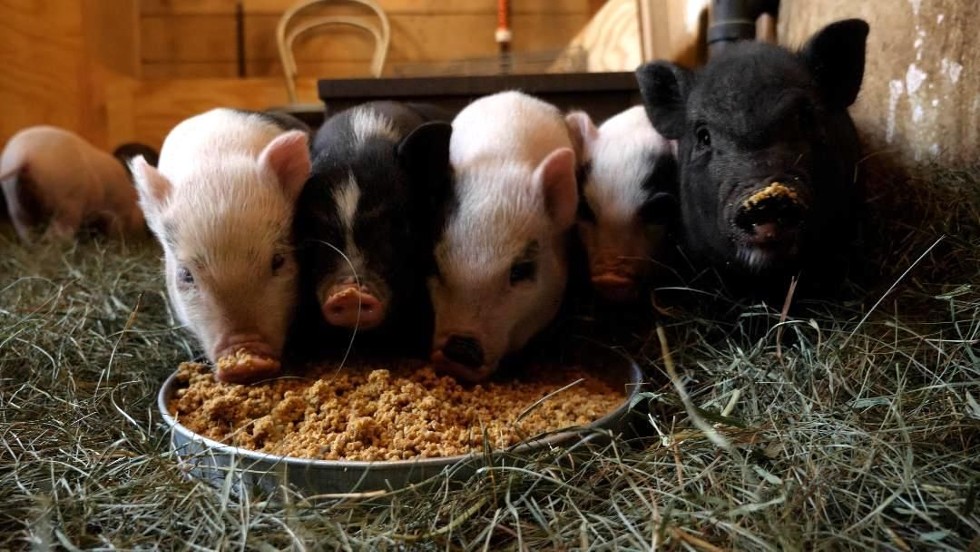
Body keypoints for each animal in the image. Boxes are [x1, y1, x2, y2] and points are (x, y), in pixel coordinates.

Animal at [0, 126, 146, 242]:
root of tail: (25, 155)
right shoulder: (116, 213)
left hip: (15, 201)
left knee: (26, 230)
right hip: (66, 201)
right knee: (58, 233)